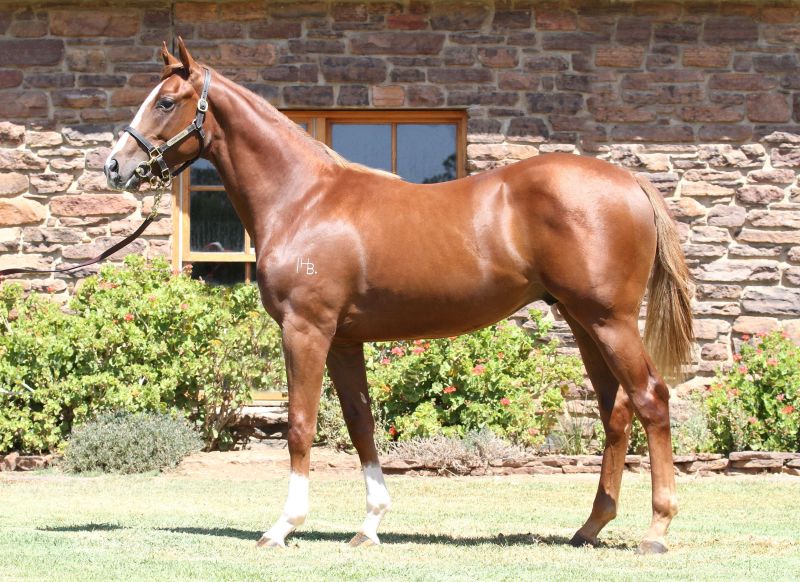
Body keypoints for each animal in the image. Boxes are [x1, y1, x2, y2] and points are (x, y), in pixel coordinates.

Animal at [104, 39, 694, 555]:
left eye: (165, 101)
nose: (115, 166)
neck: (303, 199)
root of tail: (629, 183)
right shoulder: (343, 340)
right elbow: (361, 425)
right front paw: (369, 526)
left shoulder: (305, 330)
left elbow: (300, 425)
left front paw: (283, 527)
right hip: (581, 320)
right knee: (614, 408)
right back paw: (591, 526)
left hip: (609, 319)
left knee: (650, 398)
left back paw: (658, 529)